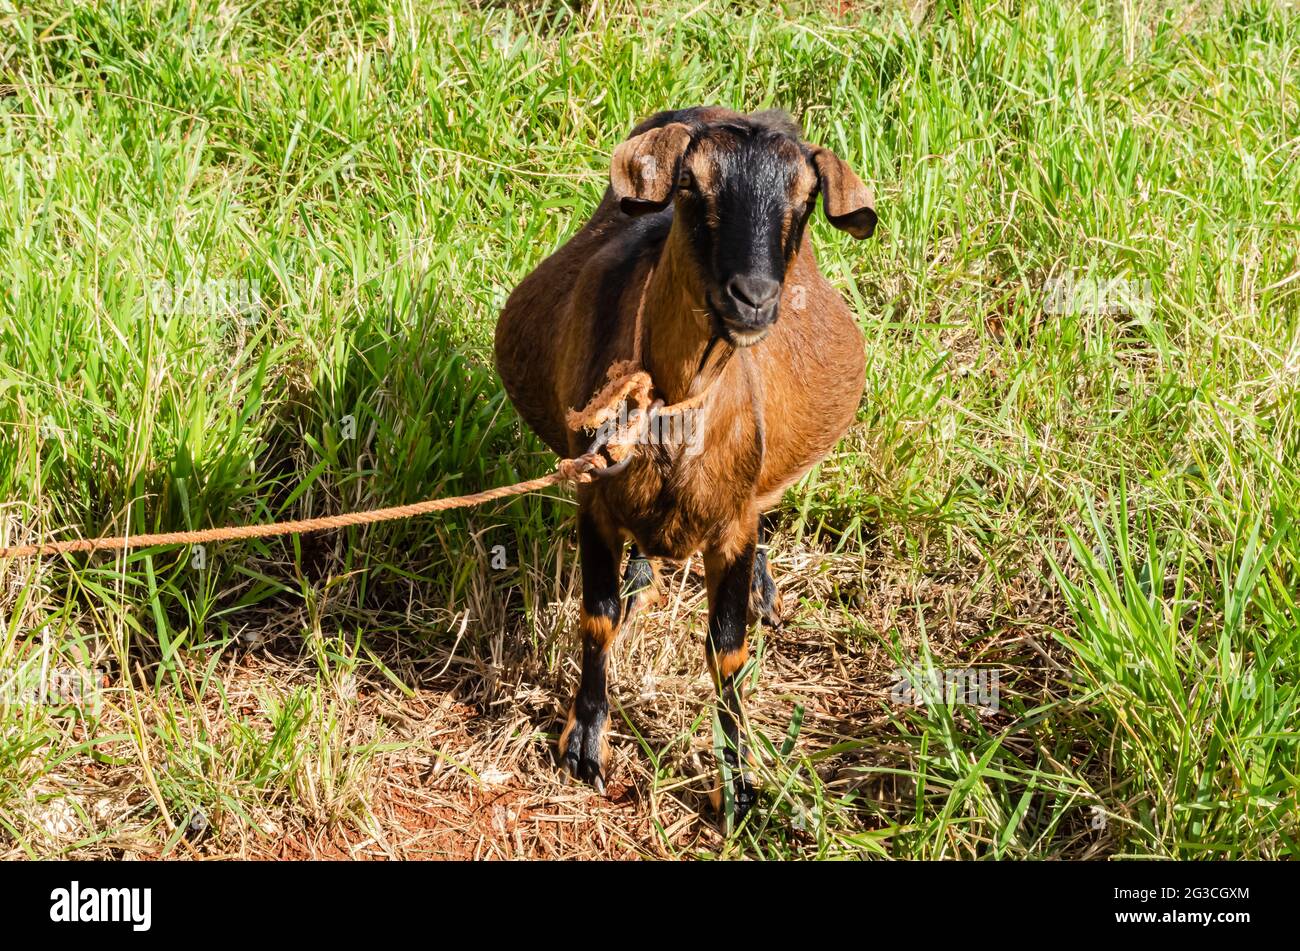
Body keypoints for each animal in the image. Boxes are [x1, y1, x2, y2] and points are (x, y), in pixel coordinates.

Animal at [495, 106, 875, 817]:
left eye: (806, 200)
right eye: (691, 188)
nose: (752, 297)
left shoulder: (732, 523)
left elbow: (727, 650)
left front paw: (739, 786)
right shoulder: (593, 498)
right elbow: (598, 615)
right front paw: (585, 743)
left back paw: (760, 587)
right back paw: (643, 576)